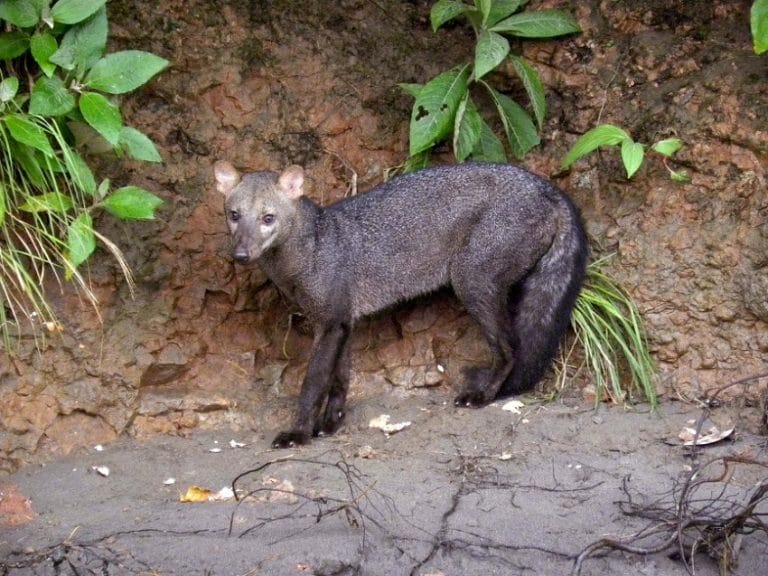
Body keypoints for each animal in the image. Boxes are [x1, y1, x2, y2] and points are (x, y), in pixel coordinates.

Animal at [214, 161, 588, 448]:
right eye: (234, 215)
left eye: (268, 218)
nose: (241, 255)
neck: (312, 250)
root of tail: (546, 186)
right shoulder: (343, 321)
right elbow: (339, 380)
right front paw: (331, 423)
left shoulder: (330, 323)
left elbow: (313, 384)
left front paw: (298, 433)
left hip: (471, 282)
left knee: (511, 348)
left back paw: (483, 396)